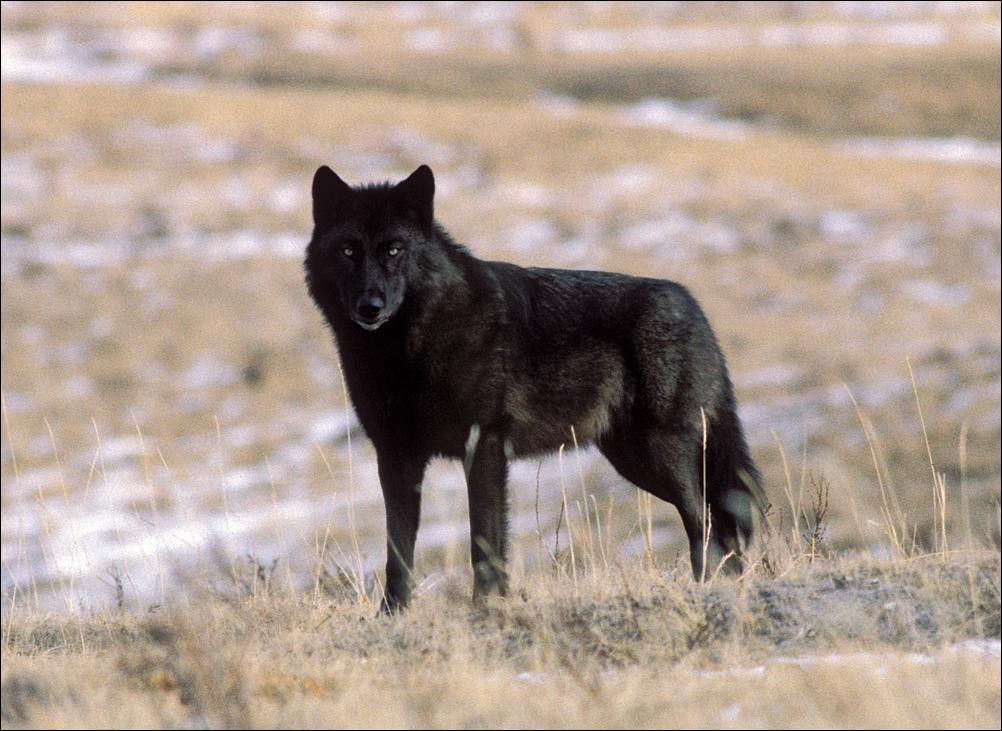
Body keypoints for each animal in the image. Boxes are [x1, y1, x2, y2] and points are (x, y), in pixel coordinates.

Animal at [304, 164, 762, 613]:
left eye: (394, 250)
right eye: (348, 251)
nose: (370, 306)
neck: (407, 351)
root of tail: (691, 303)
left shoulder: (483, 447)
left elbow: (484, 541)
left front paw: (487, 607)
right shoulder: (396, 457)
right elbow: (397, 550)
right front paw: (392, 616)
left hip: (660, 455)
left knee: (707, 521)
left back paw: (707, 590)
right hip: (633, 460)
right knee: (721, 525)